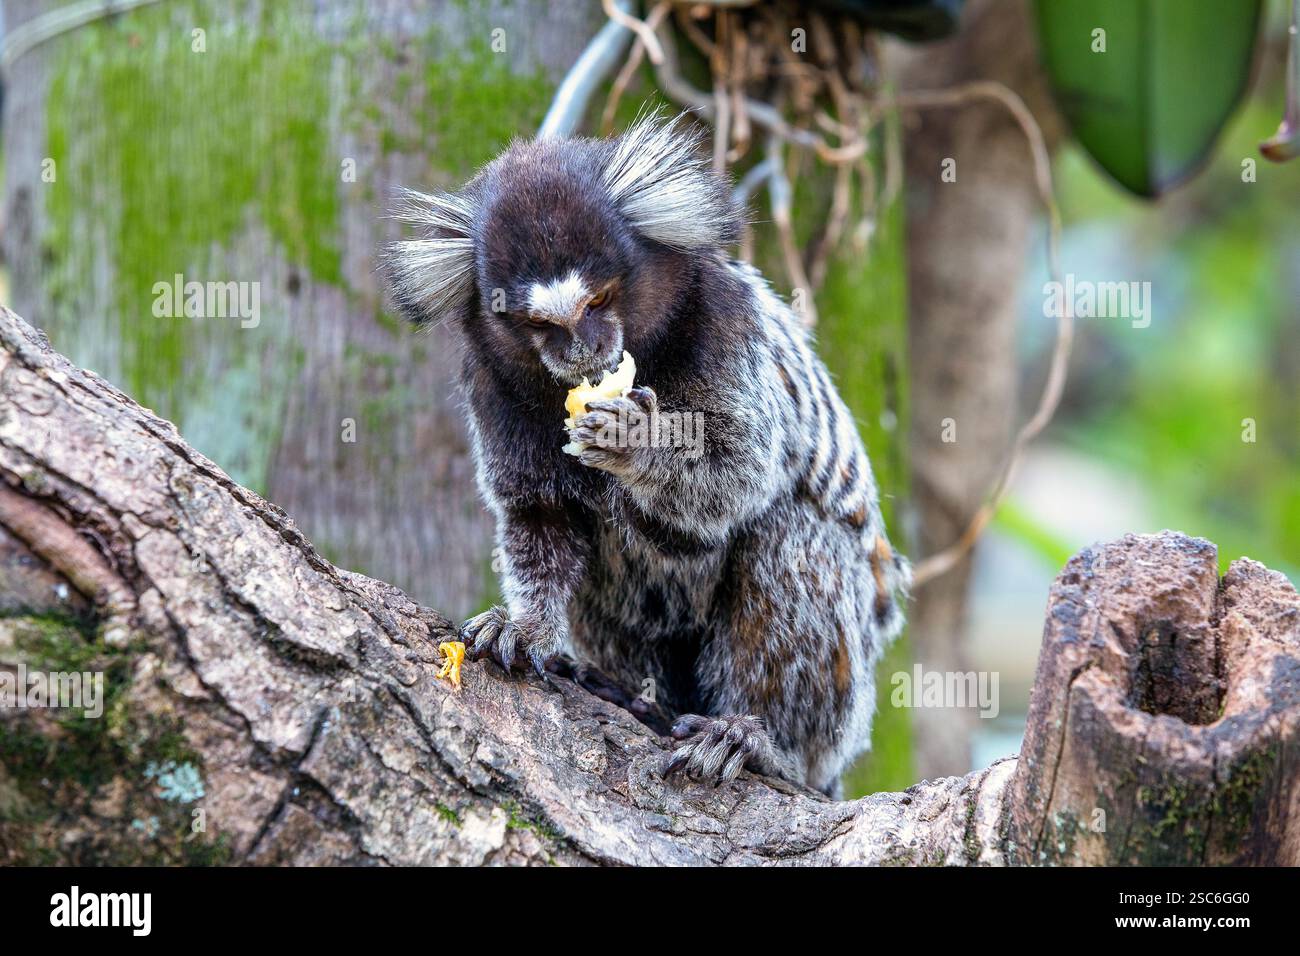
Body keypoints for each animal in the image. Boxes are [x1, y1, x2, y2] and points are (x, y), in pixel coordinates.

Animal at [385, 113, 908, 797]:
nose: (582, 350)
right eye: (538, 324)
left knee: (788, 536)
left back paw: (754, 736)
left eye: (599, 301)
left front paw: (635, 444)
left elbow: (737, 478)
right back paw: (624, 692)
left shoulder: (725, 325)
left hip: (841, 700)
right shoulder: (490, 385)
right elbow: (539, 518)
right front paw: (526, 626)